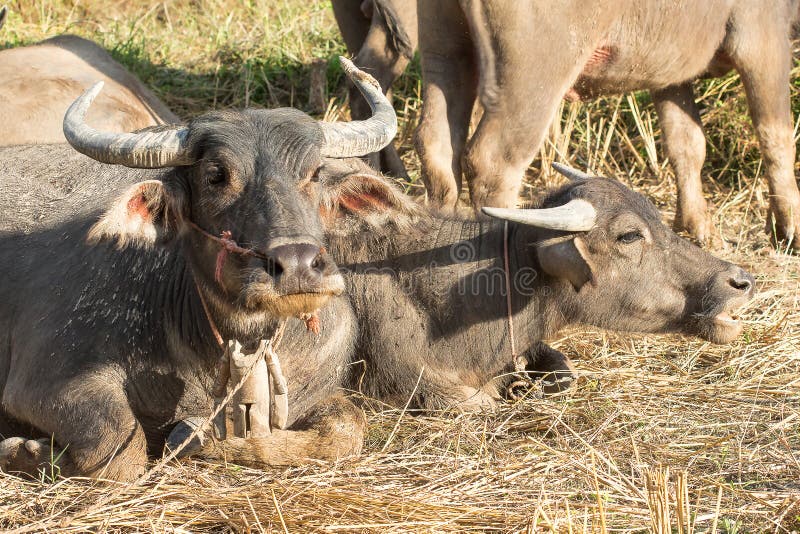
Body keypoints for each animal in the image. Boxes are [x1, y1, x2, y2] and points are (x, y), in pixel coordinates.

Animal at [0, 58, 396, 480]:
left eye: (316, 172)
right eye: (215, 175)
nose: (298, 265)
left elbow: (347, 426)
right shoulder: (41, 380)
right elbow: (122, 450)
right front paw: (22, 452)